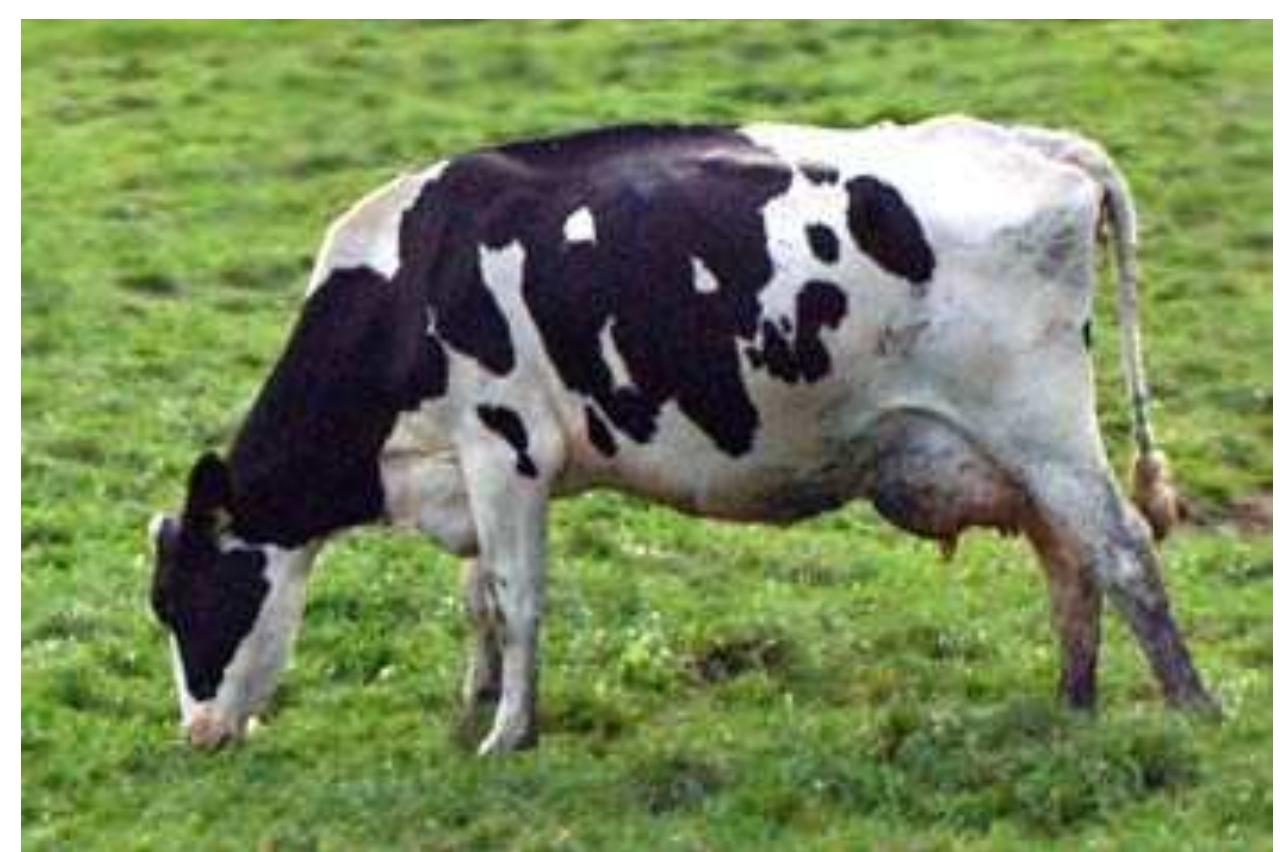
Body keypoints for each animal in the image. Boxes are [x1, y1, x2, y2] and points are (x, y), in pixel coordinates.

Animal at [149, 116, 1215, 755]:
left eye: (189, 599)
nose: (196, 732)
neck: (412, 281)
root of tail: (1037, 144)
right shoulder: (470, 461)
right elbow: (479, 602)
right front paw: (474, 709)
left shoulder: (508, 449)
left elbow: (517, 599)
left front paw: (507, 735)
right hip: (1015, 452)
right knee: (1069, 559)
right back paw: (1072, 705)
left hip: (1042, 427)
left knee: (1123, 553)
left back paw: (1191, 709)